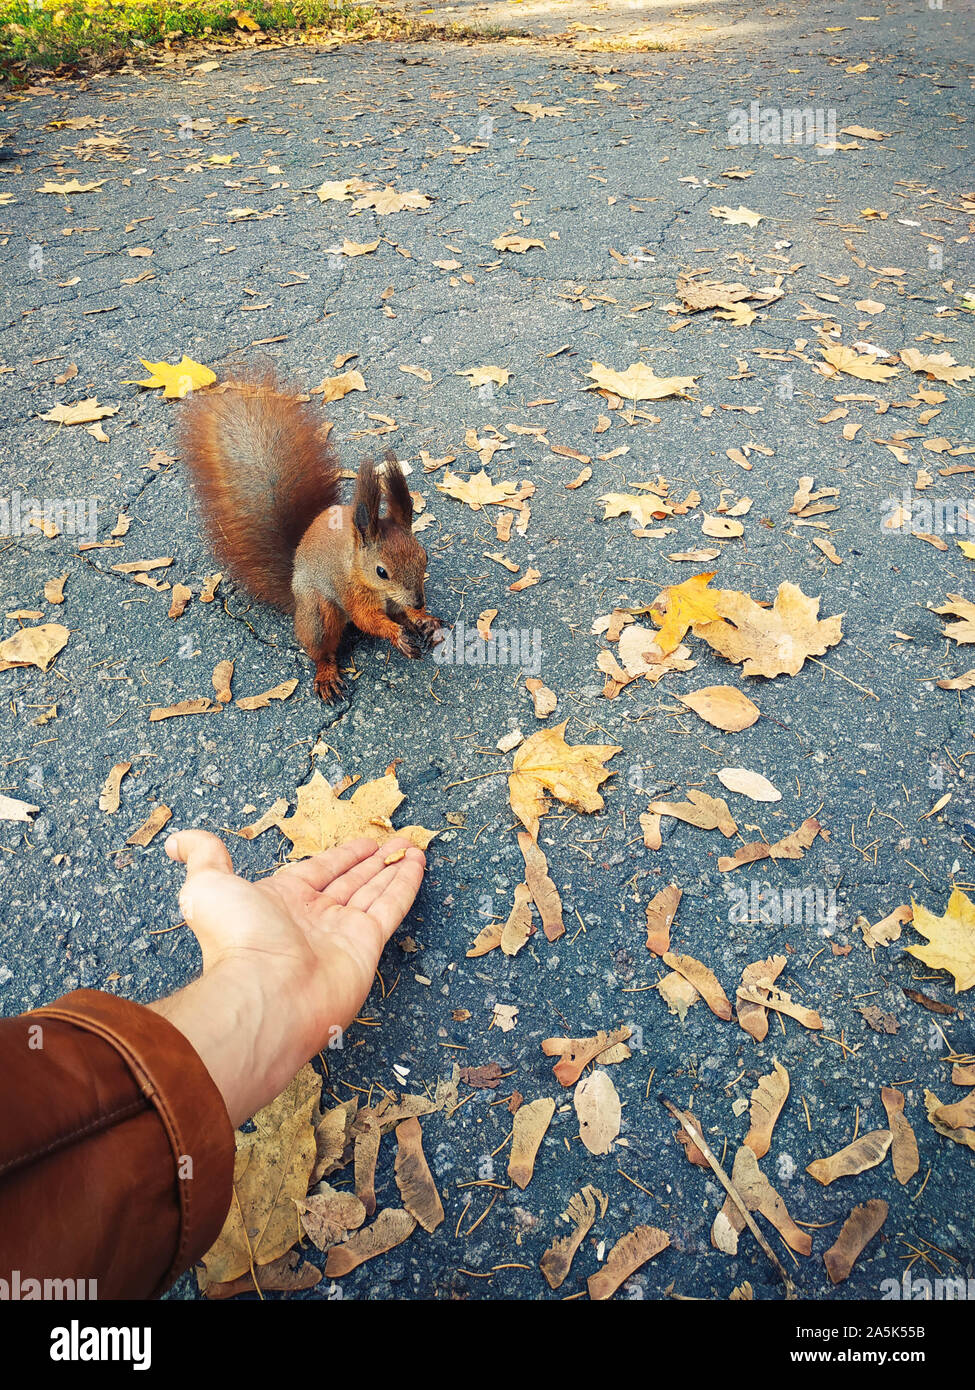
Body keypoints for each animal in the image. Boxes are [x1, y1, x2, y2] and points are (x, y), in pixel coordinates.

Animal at [179, 375, 443, 701]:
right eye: (381, 571)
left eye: (424, 557)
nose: (419, 600)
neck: (359, 569)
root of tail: (294, 590)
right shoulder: (352, 593)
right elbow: (367, 620)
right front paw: (396, 634)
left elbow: (403, 612)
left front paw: (422, 618)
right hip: (319, 612)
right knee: (320, 649)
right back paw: (327, 674)